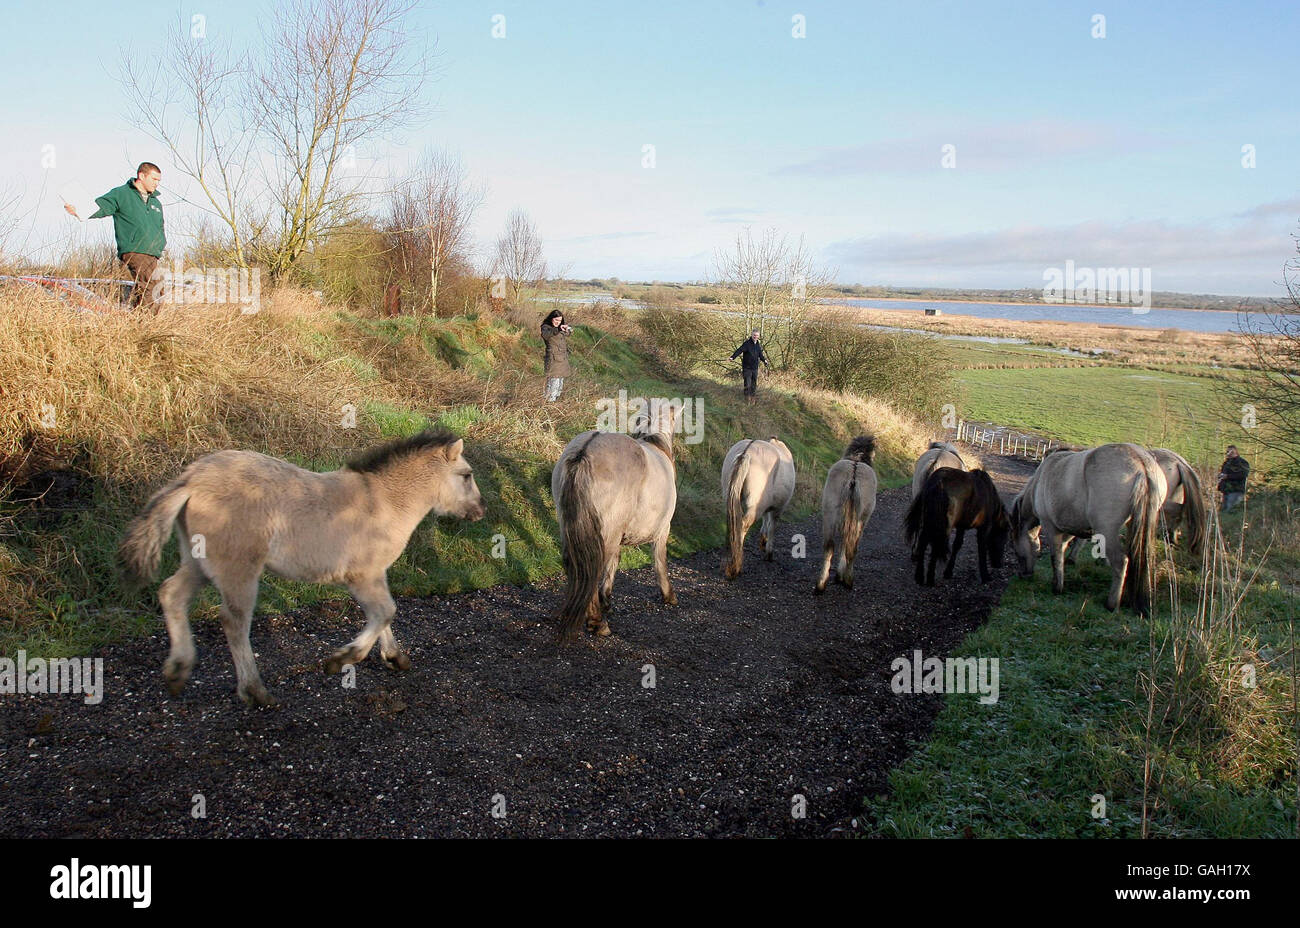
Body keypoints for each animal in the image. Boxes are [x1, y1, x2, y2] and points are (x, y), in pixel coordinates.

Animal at [118, 431, 486, 706]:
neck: (384, 501)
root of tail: (190, 480)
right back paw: (255, 691)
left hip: (198, 563)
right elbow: (385, 612)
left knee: (172, 594)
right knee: (233, 621)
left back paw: (177, 671)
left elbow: (383, 615)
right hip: (239, 570)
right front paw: (341, 659)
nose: (481, 510)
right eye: (466, 476)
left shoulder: (374, 575)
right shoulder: (363, 575)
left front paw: (395, 658)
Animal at [552, 404, 679, 638]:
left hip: (573, 528)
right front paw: (669, 595)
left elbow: (614, 564)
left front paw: (606, 600)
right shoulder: (662, 531)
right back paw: (597, 623)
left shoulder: (618, 535)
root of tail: (584, 451)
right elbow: (660, 562)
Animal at [721, 436, 797, 579]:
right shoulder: (778, 509)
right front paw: (769, 552)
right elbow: (772, 526)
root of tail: (746, 453)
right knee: (742, 525)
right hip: (755, 506)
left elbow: (766, 520)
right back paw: (736, 566)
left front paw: (763, 540)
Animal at [814, 435, 878, 594]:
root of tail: (853, 473)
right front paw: (841, 576)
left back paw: (821, 584)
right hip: (859, 519)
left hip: (830, 513)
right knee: (852, 548)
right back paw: (848, 580)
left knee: (829, 546)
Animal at [1010, 442, 1165, 615]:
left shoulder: (1050, 526)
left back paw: (1111, 605)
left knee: (1120, 561)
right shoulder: (1072, 527)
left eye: (1016, 549)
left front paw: (1057, 587)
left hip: (1107, 530)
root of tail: (1141, 464)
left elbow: (1055, 556)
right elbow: (1063, 548)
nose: (1024, 575)